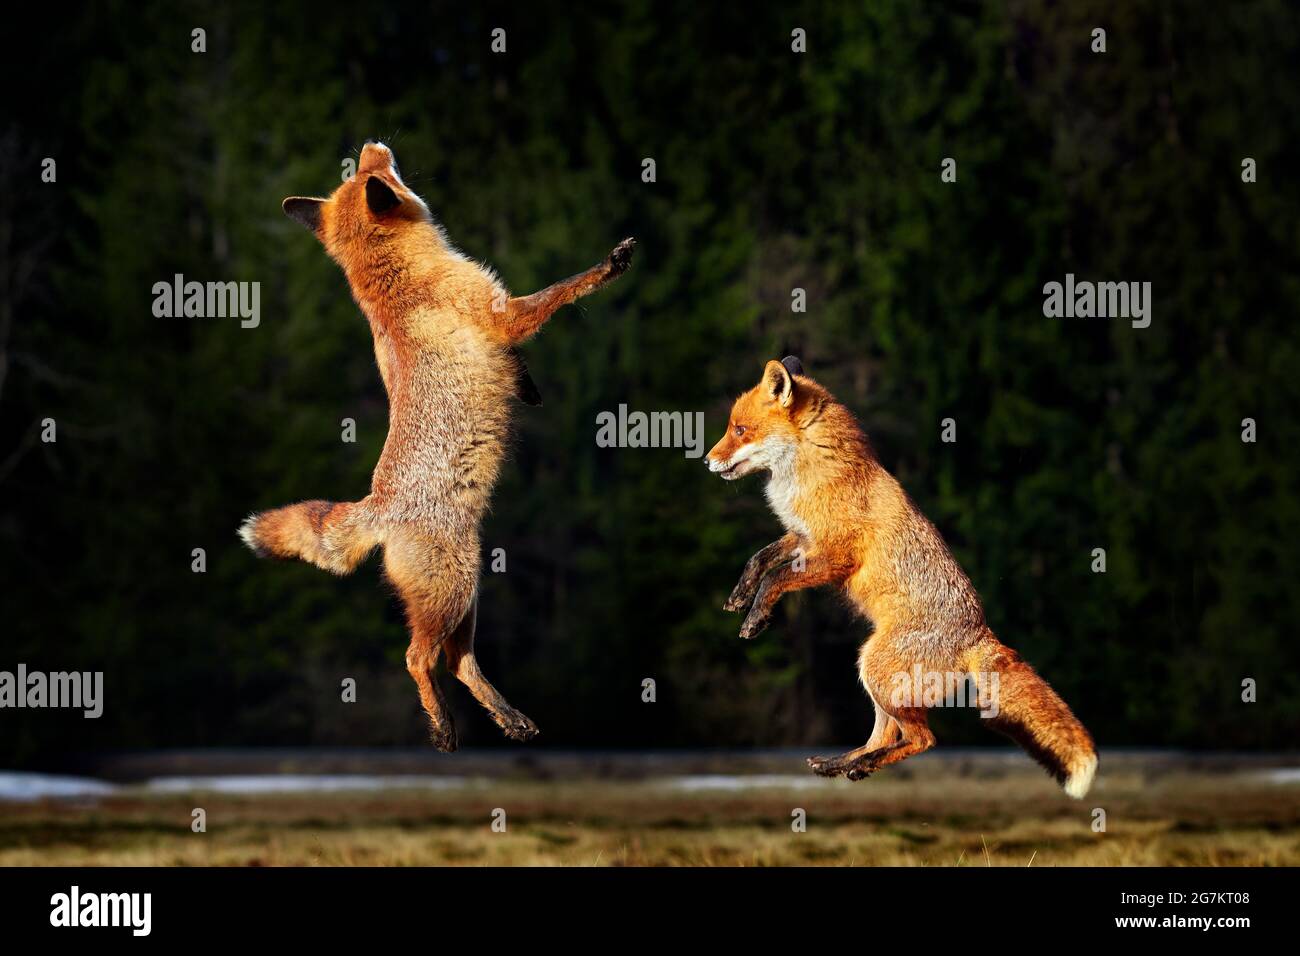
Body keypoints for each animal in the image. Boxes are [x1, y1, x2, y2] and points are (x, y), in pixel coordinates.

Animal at [240, 141, 635, 749]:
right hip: (455, 585)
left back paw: (508, 717)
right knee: (415, 658)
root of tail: (377, 508)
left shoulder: (493, 332)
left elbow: (519, 363)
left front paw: (530, 390)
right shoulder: (501, 314)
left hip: (468, 594)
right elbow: (561, 292)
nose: (373, 143)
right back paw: (443, 726)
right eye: (380, 171)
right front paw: (608, 265)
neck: (400, 280)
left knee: (458, 662)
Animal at [705, 356, 1098, 797]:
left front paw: (755, 619)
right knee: (886, 737)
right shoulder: (802, 537)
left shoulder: (835, 555)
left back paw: (859, 765)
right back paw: (842, 764)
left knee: (922, 739)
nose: (706, 460)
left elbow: (776, 580)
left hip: (876, 668)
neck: (813, 472)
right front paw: (739, 598)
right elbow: (758, 561)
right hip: (873, 673)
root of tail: (980, 633)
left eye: (739, 429)